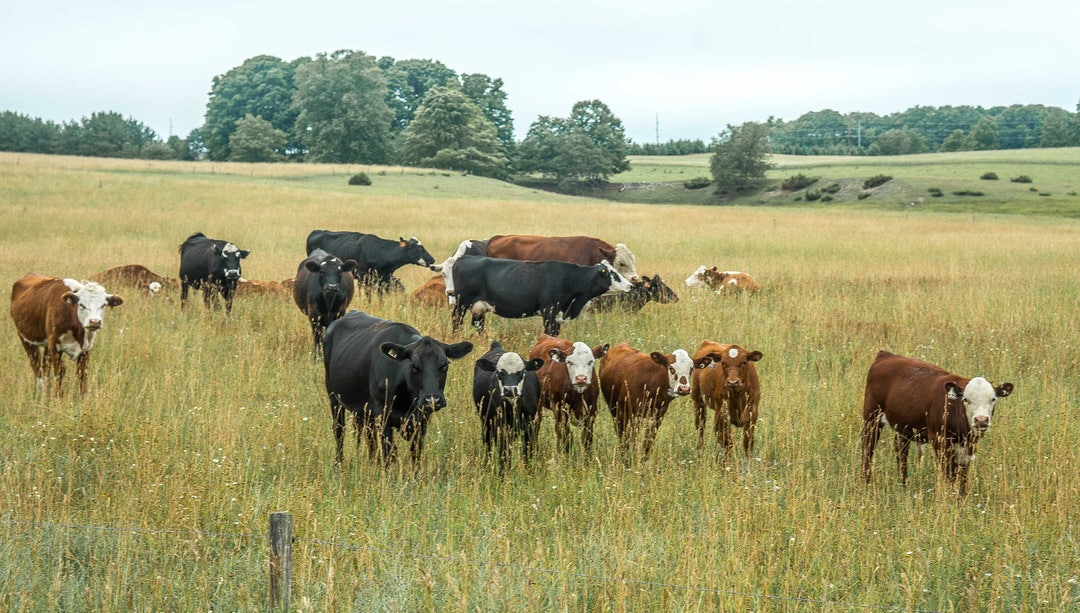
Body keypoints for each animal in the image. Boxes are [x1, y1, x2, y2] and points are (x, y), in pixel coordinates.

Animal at [305, 230, 434, 293]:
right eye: (419, 248)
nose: (432, 259)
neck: (380, 252)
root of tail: (316, 231)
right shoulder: (363, 278)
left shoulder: (383, 280)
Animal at [322, 311, 473, 464]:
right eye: (414, 367)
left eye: (445, 366)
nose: (432, 400)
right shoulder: (383, 417)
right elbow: (390, 455)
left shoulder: (421, 421)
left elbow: (415, 456)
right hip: (334, 399)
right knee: (339, 432)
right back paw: (338, 464)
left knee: (368, 437)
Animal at [447, 255, 631, 336]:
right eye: (613, 274)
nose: (630, 285)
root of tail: (466, 257)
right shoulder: (549, 310)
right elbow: (549, 334)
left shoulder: (557, 315)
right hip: (462, 302)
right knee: (456, 320)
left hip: (478, 306)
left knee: (478, 324)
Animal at [472, 340, 545, 469]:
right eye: (499, 372)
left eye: (521, 372)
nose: (510, 389)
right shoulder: (501, 427)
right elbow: (504, 454)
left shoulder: (532, 425)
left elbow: (528, 452)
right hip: (486, 423)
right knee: (488, 445)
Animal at [861, 350, 1013, 494]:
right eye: (966, 399)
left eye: (993, 399)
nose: (981, 420)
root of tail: (886, 355)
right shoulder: (940, 439)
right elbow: (950, 473)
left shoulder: (970, 444)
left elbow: (963, 474)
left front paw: (962, 497)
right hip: (871, 417)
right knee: (867, 448)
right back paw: (866, 482)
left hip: (903, 426)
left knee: (901, 452)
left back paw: (903, 484)